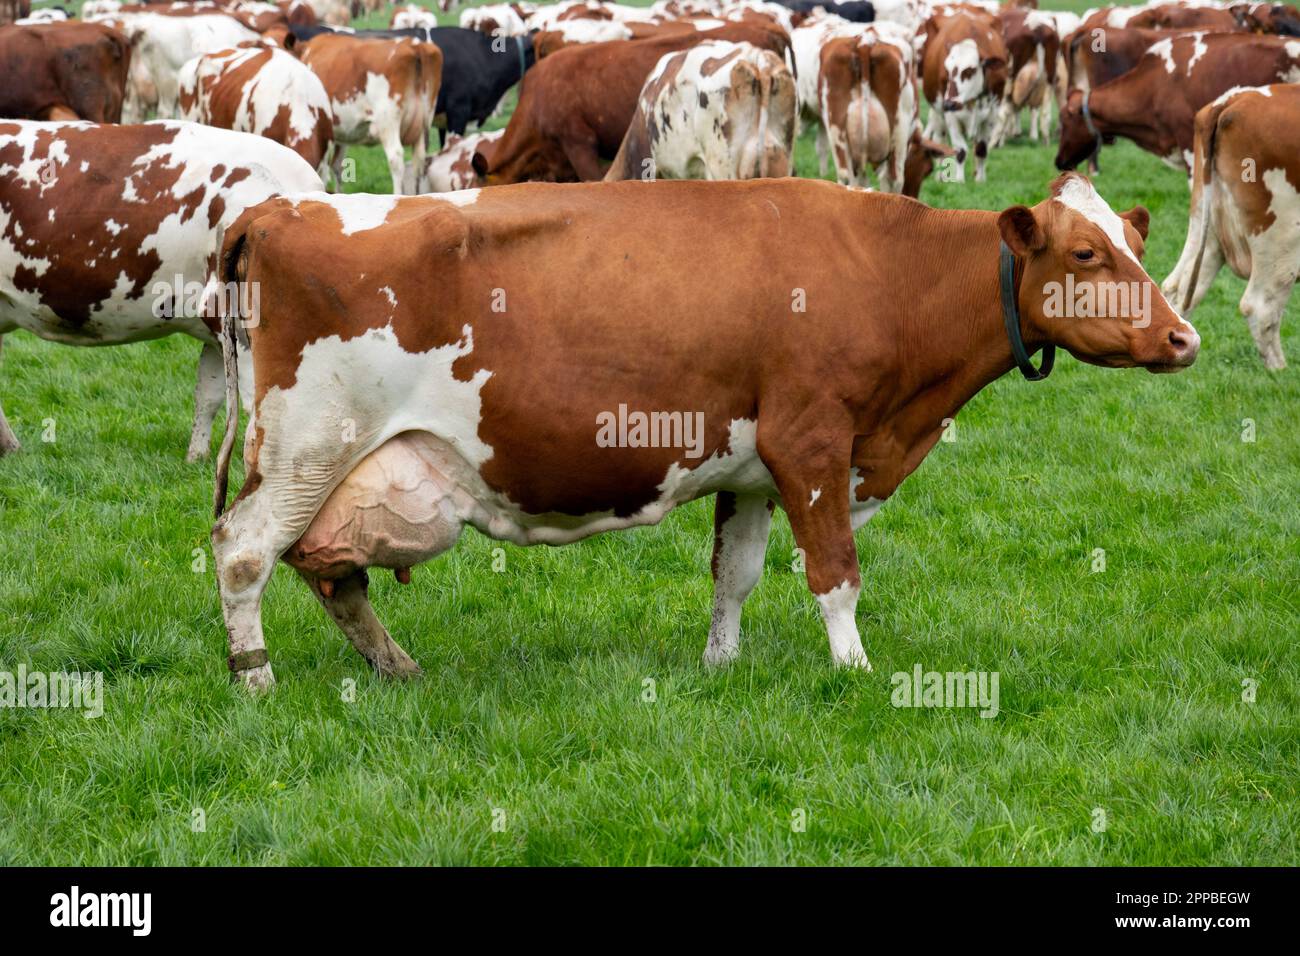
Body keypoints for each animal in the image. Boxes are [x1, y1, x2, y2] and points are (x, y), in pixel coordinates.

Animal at [206, 173, 1198, 690]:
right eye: (1085, 254)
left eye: (1138, 247)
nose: (1184, 337)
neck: (888, 272)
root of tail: (278, 209)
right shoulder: (812, 443)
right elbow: (834, 571)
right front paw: (854, 670)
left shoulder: (753, 469)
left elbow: (736, 574)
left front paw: (721, 665)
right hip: (304, 448)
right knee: (244, 550)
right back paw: (255, 675)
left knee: (334, 573)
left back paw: (396, 665)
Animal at [296, 31, 442, 195]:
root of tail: (414, 45)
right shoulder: (342, 133)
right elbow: (338, 165)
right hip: (423, 124)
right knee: (419, 162)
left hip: (388, 120)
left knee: (396, 158)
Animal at [920, 8, 1010, 182]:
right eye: (947, 71)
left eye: (969, 70)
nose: (950, 103)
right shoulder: (950, 114)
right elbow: (960, 150)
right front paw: (959, 181)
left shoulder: (991, 114)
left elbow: (981, 148)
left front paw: (980, 180)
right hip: (938, 112)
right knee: (940, 140)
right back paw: (940, 177)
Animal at [1163, 84, 1300, 369]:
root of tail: (1233, 99)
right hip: (1280, 240)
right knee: (1260, 308)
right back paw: (1280, 371)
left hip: (1205, 229)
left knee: (1178, 289)